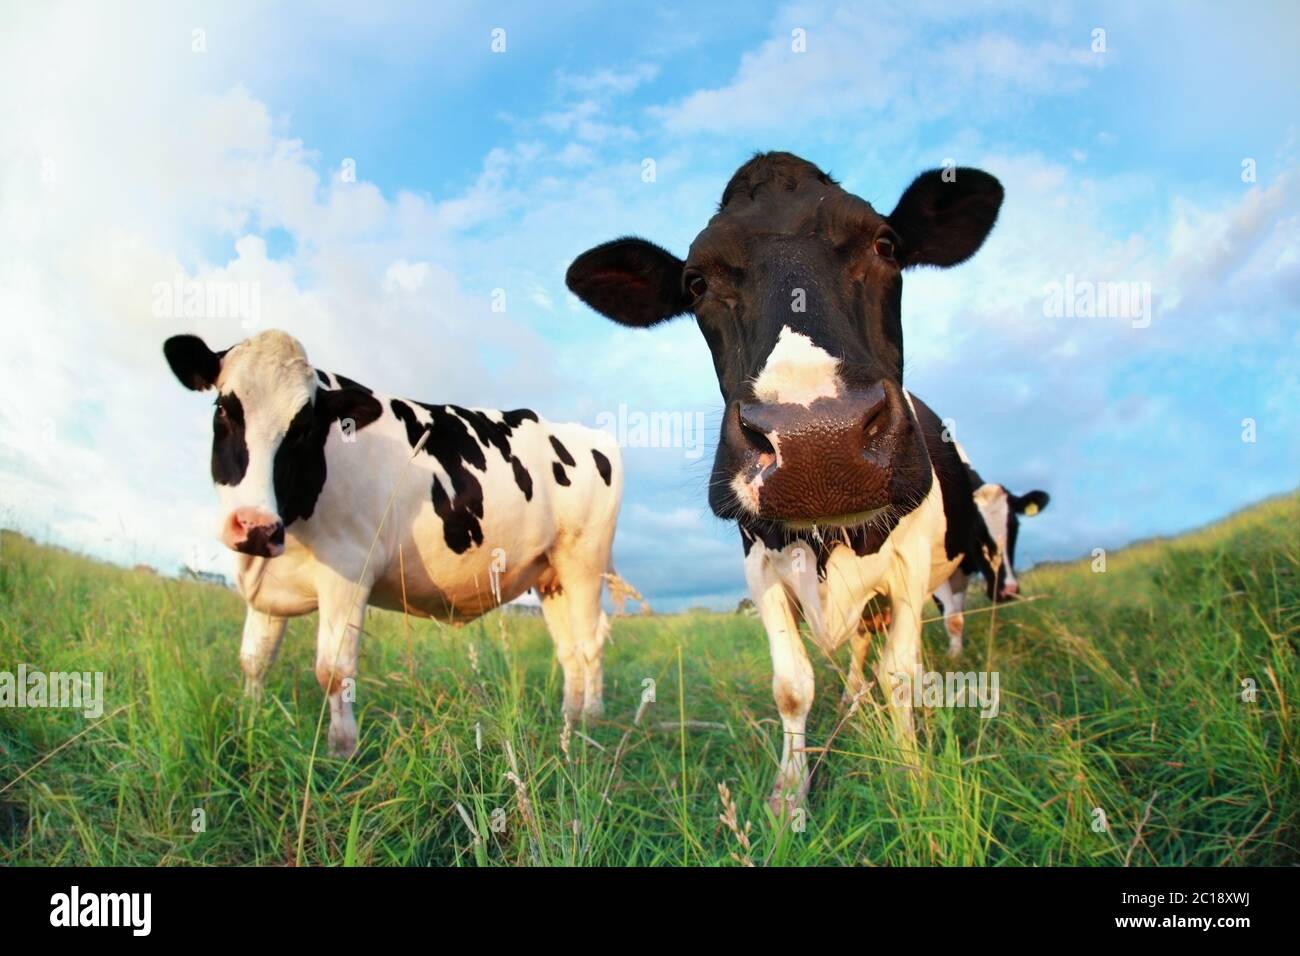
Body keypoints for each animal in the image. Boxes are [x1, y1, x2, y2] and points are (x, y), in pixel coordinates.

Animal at [163, 330, 623, 757]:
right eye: (223, 409)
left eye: (303, 428)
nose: (256, 526)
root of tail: (587, 436)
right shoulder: (268, 582)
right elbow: (254, 660)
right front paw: (250, 724)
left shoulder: (349, 571)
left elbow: (334, 670)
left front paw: (341, 754)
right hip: (551, 575)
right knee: (569, 649)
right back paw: (569, 723)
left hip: (584, 564)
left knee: (590, 642)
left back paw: (590, 725)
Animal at [566, 151, 1003, 811]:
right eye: (696, 282)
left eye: (886, 244)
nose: (817, 440)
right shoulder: (760, 568)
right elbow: (792, 686)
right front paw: (789, 795)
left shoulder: (909, 564)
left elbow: (901, 675)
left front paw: (911, 777)